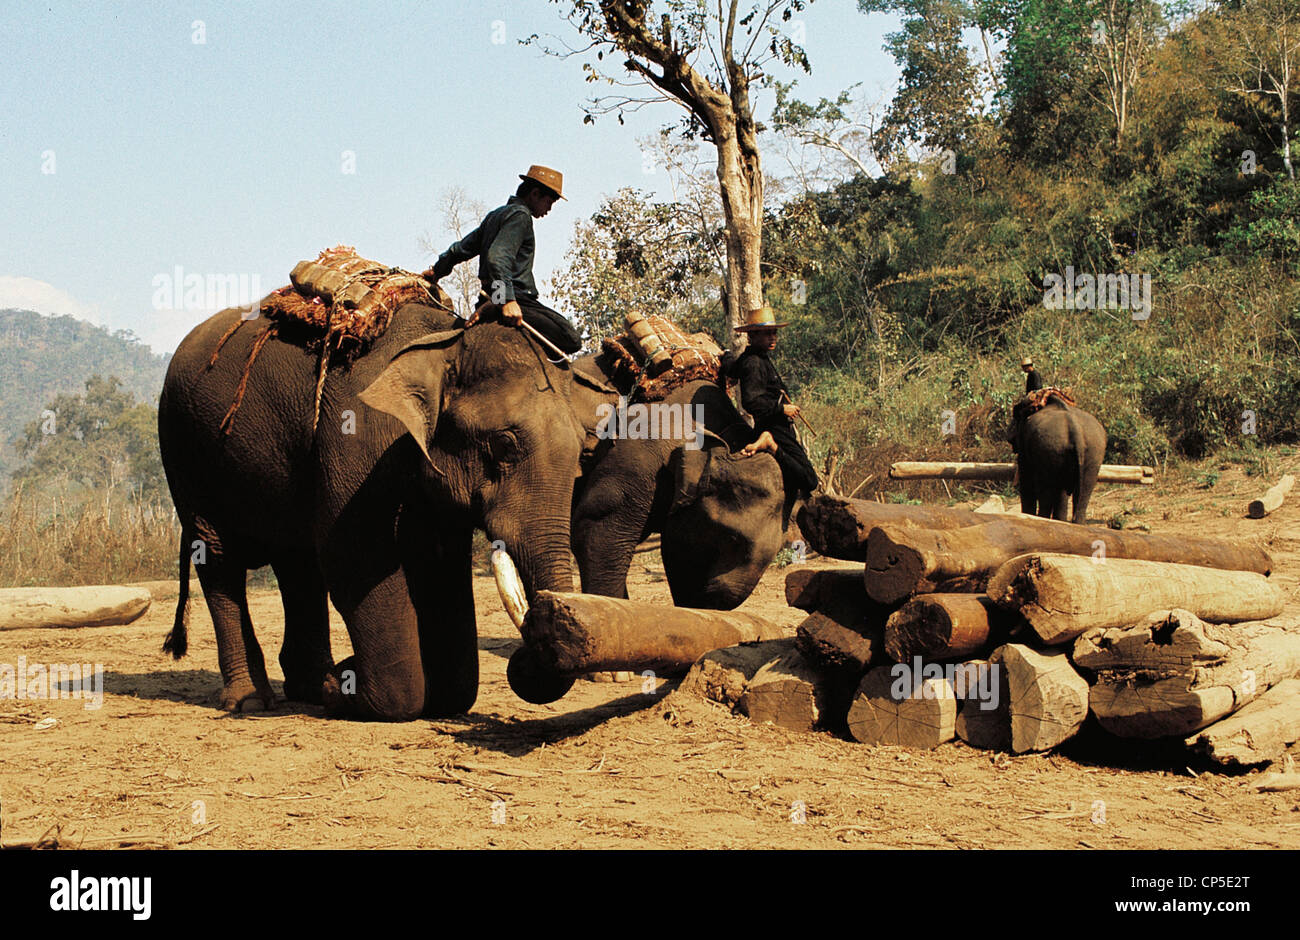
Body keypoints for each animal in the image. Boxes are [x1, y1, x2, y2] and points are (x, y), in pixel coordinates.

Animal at [157, 301, 585, 719]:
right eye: (503, 444)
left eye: (583, 449)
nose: (527, 656)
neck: (444, 343)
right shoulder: (357, 435)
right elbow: (356, 562)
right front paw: (344, 687)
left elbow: (441, 573)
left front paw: (338, 687)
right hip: (185, 455)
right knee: (219, 558)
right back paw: (252, 700)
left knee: (298, 562)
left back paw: (312, 687)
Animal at [1009, 393, 1106, 523]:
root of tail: (1076, 431)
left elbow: (1026, 479)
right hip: (1093, 451)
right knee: (1083, 493)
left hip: (1048, 448)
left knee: (1046, 489)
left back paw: (1044, 518)